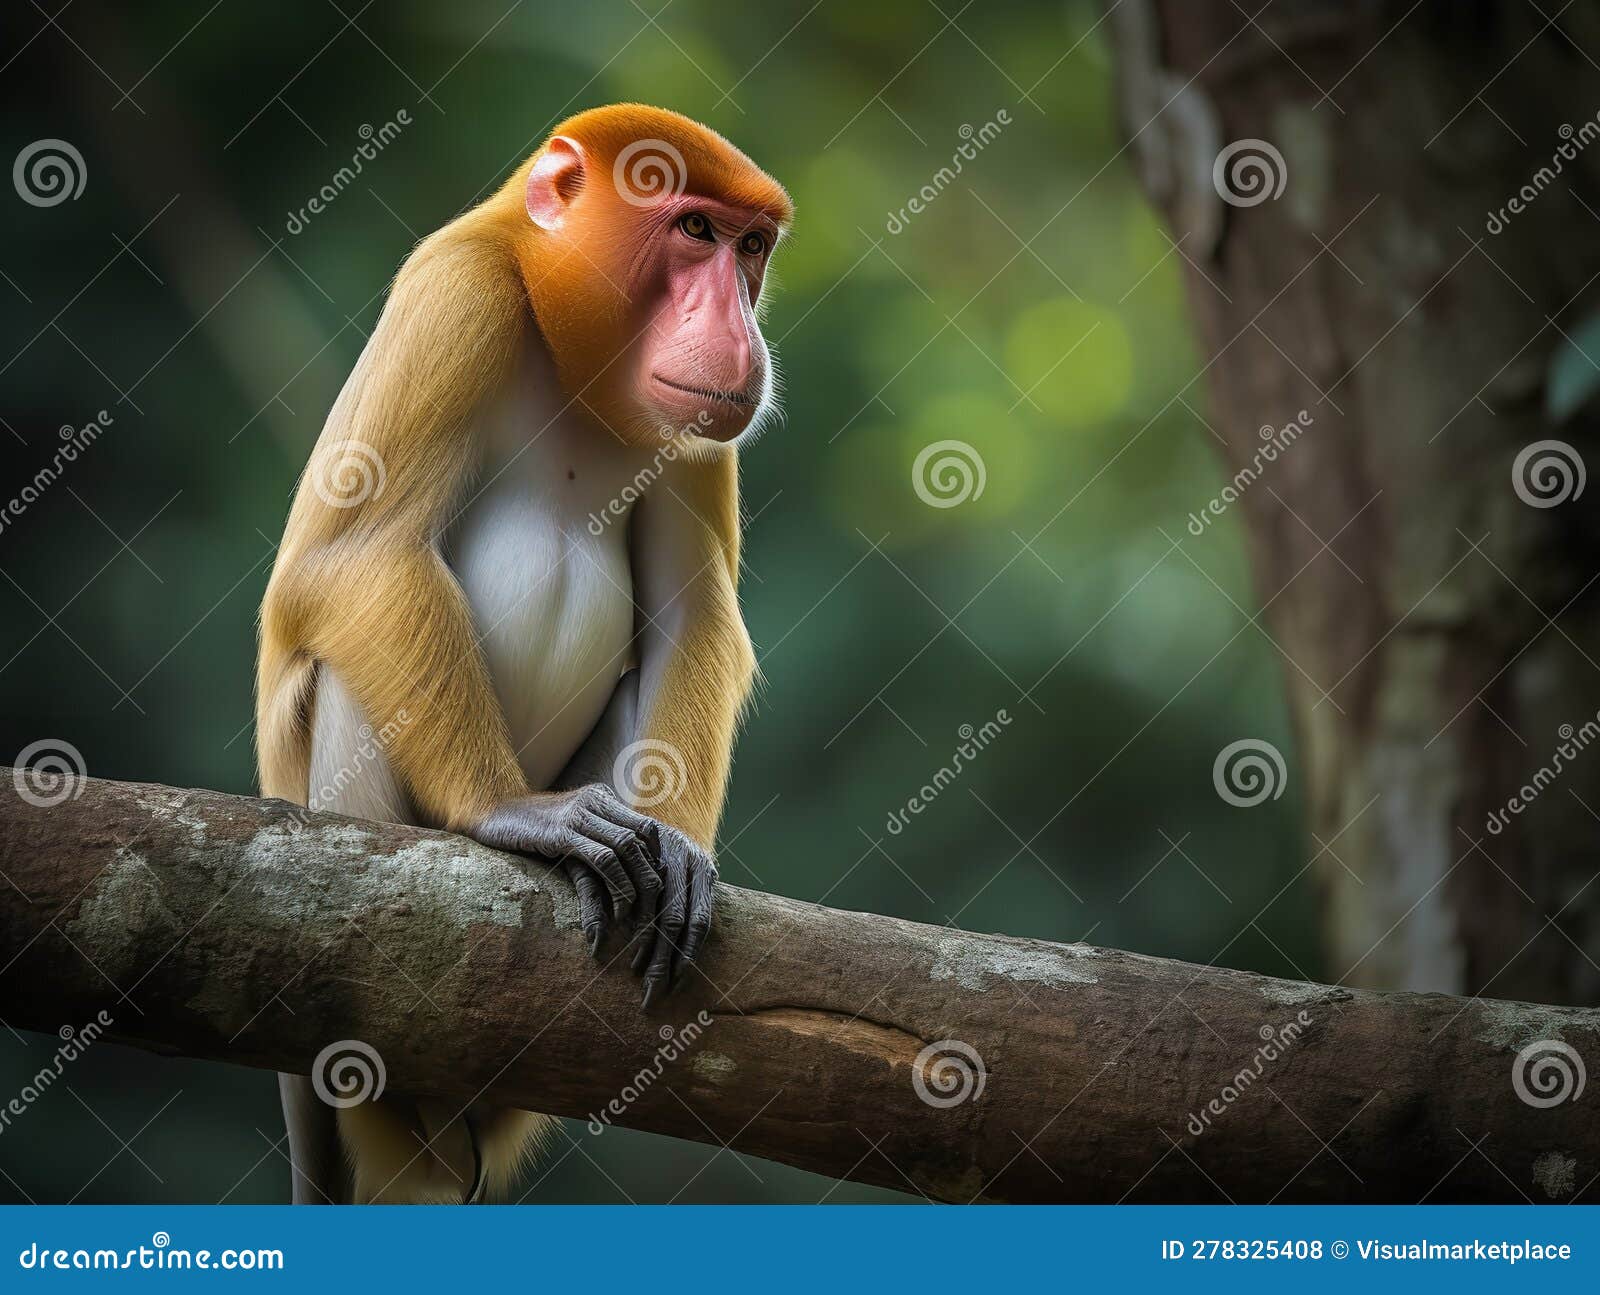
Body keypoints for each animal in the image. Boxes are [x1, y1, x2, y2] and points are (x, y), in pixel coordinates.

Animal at [255, 104, 791, 1204]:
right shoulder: (460, 299)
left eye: (752, 247)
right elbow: (357, 559)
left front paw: (680, 847)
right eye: (696, 232)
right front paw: (513, 814)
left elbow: (691, 616)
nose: (740, 331)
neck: (563, 342)